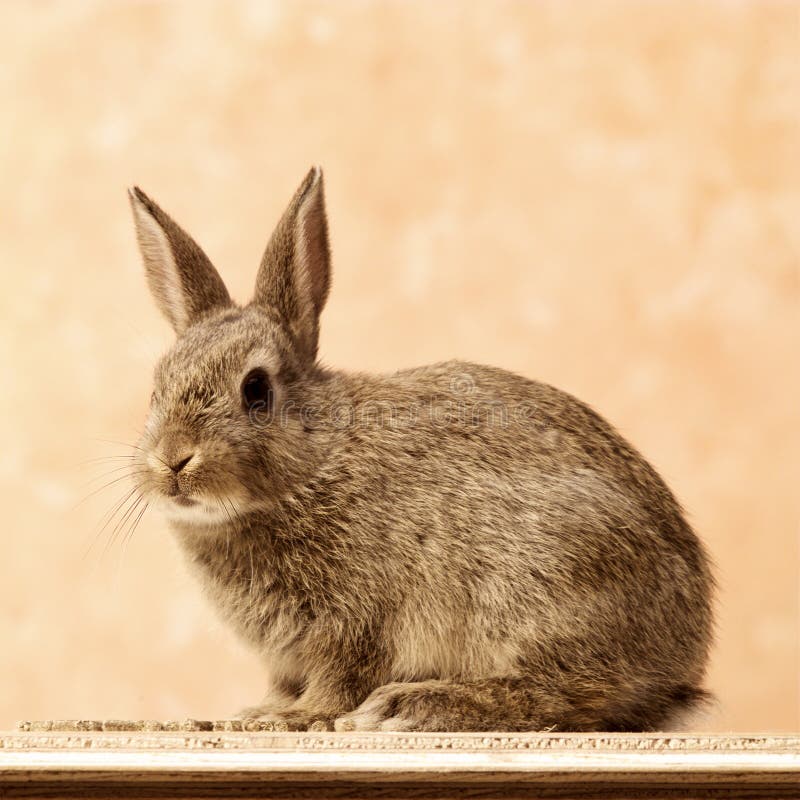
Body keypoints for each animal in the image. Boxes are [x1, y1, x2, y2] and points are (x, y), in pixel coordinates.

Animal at [127, 167, 714, 732]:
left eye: (256, 390)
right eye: (155, 389)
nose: (173, 460)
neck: (321, 461)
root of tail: (683, 654)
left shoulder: (357, 619)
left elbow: (340, 677)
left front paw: (298, 716)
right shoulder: (289, 654)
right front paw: (260, 712)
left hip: (540, 588)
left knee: (564, 696)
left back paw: (414, 705)